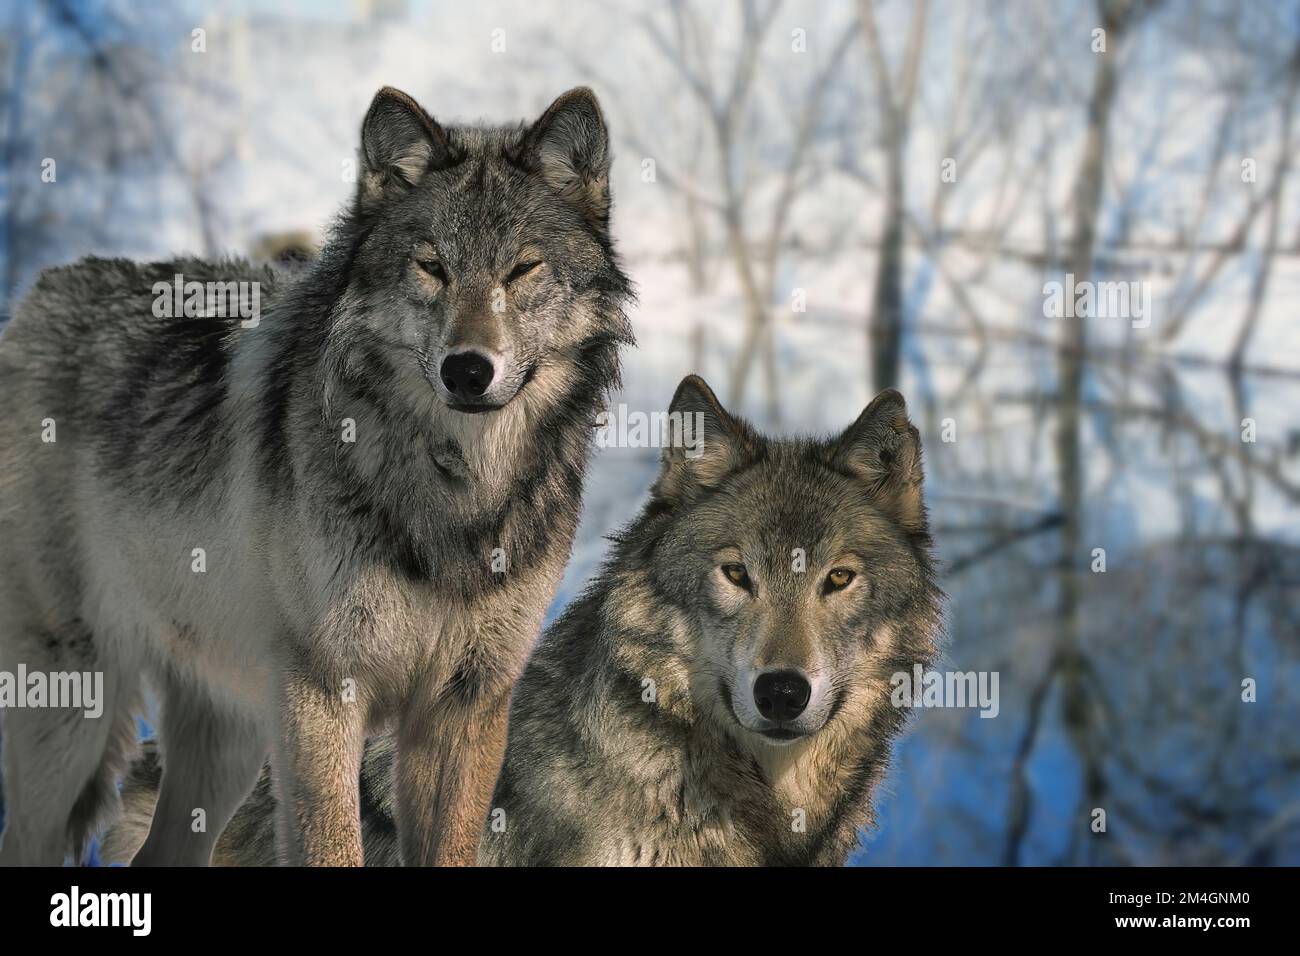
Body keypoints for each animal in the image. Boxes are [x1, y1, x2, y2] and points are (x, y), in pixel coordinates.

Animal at [0, 85, 632, 866]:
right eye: (432, 267)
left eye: (523, 270)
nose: (467, 370)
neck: (455, 487)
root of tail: (44, 292)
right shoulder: (325, 690)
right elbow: (332, 845)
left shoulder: (467, 706)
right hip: (76, 707)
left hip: (231, 732)